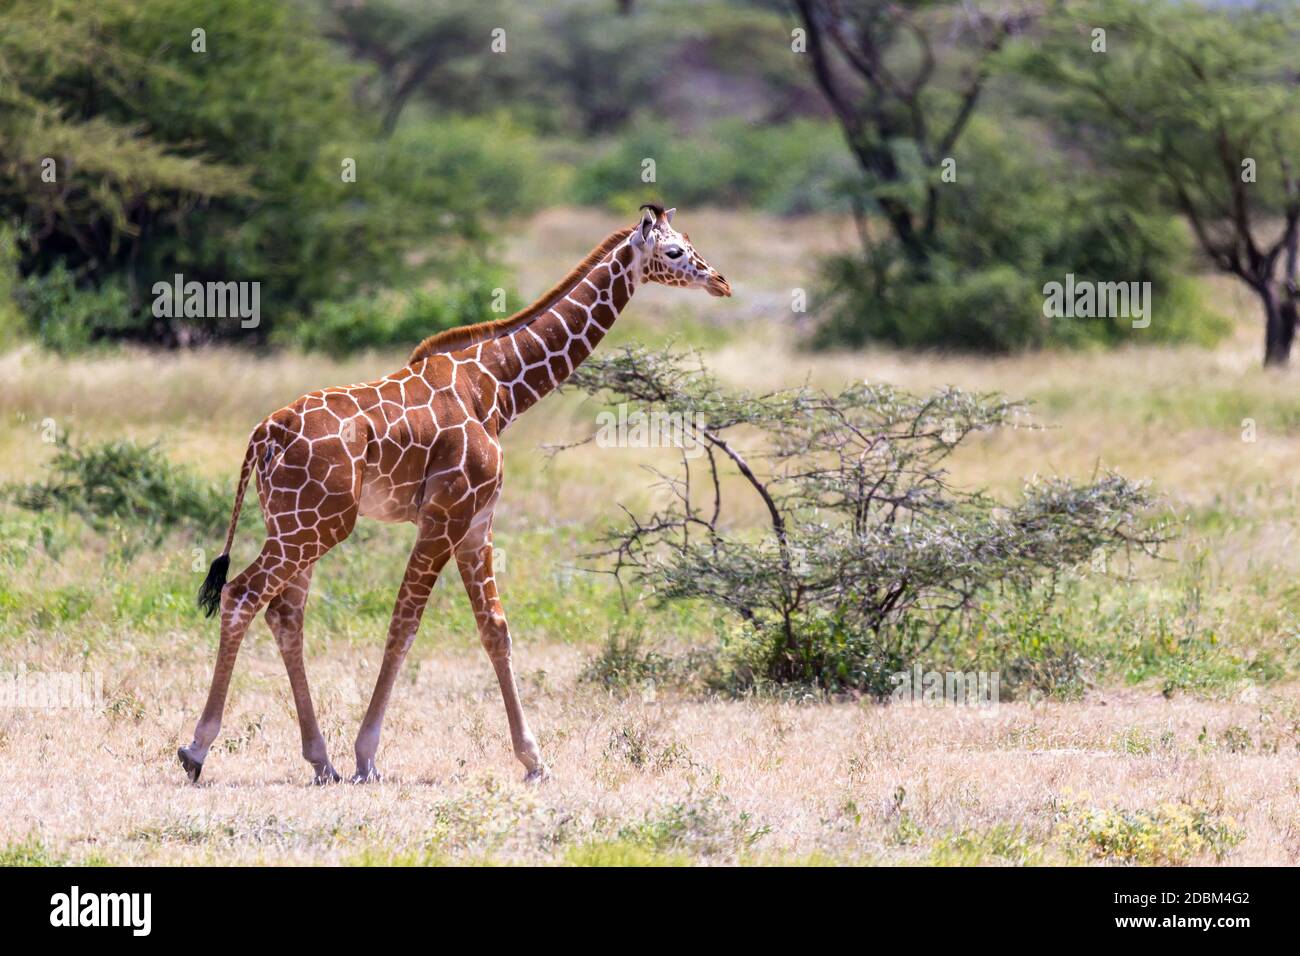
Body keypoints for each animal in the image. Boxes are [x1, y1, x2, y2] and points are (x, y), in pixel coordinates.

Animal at [178, 204, 730, 785]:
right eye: (674, 251)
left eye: (689, 242)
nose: (720, 280)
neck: (499, 387)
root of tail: (266, 433)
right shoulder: (446, 514)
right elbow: (404, 625)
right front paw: (367, 755)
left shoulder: (476, 522)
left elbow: (495, 630)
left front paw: (533, 760)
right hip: (319, 524)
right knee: (243, 595)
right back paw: (198, 748)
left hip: (293, 522)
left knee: (284, 615)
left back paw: (320, 760)